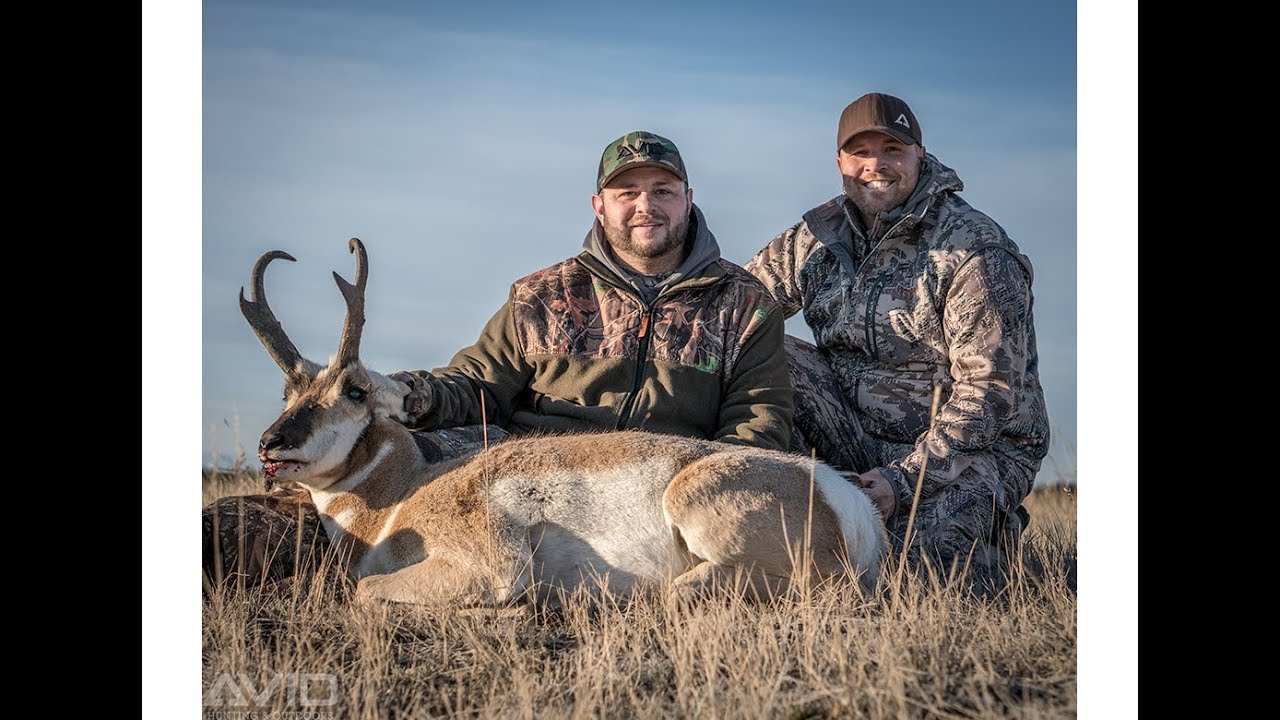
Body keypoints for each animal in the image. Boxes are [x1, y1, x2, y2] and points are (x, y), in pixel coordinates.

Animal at [241, 237, 885, 606]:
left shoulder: (490, 566)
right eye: (287, 391)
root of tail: (846, 500)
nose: (271, 444)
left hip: (695, 500)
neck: (401, 494)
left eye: (353, 390)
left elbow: (366, 590)